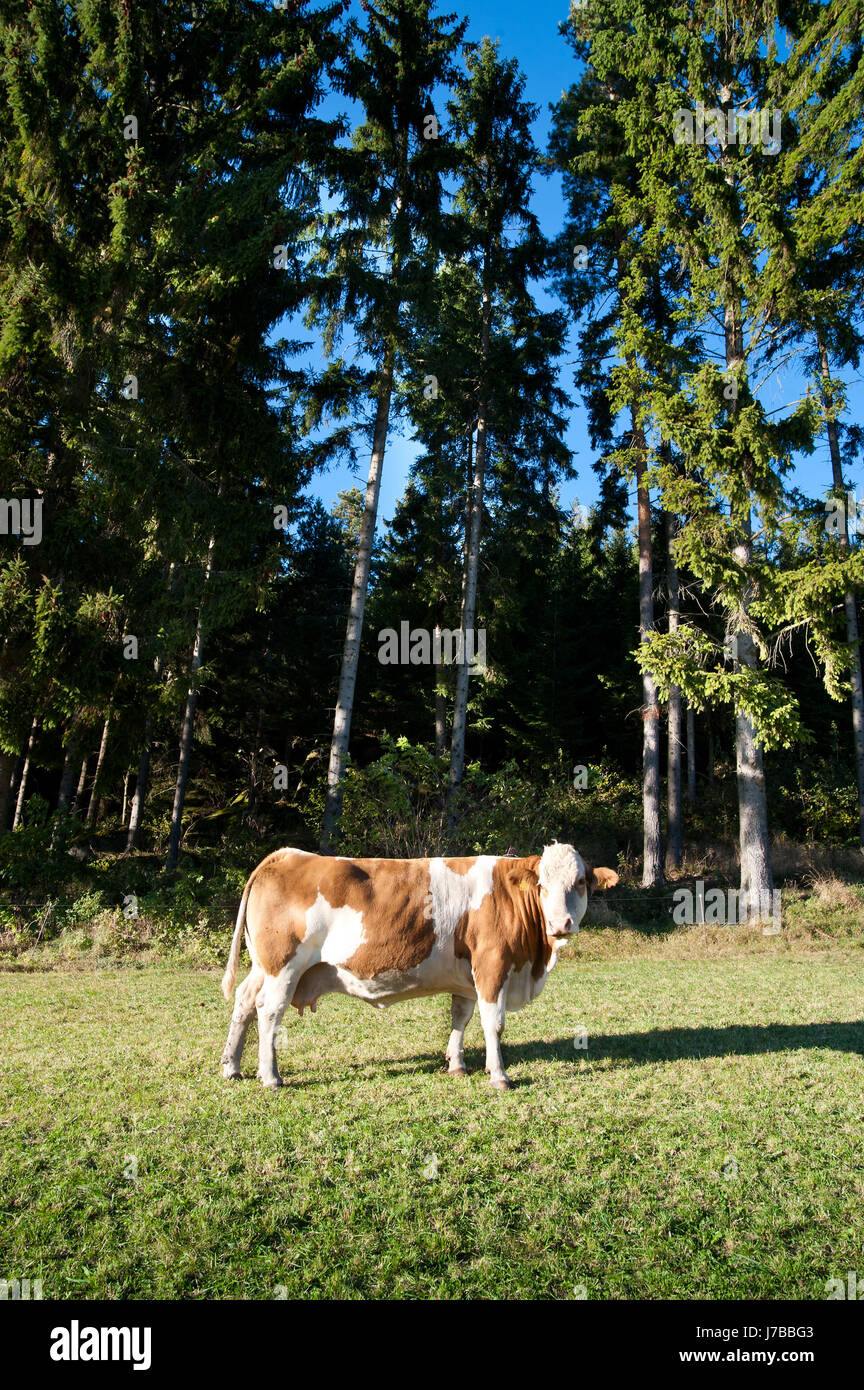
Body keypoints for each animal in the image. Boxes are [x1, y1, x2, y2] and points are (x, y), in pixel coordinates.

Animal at [220, 842, 618, 1091]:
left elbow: (461, 1017)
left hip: (262, 967)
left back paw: (232, 1067)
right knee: (269, 1012)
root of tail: (286, 855)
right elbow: (494, 1023)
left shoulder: (466, 976)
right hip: (283, 967)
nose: (562, 924)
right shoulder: (492, 964)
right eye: (541, 884)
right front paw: (499, 1076)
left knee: (243, 1002)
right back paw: (270, 1076)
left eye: (580, 882)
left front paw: (458, 1065)